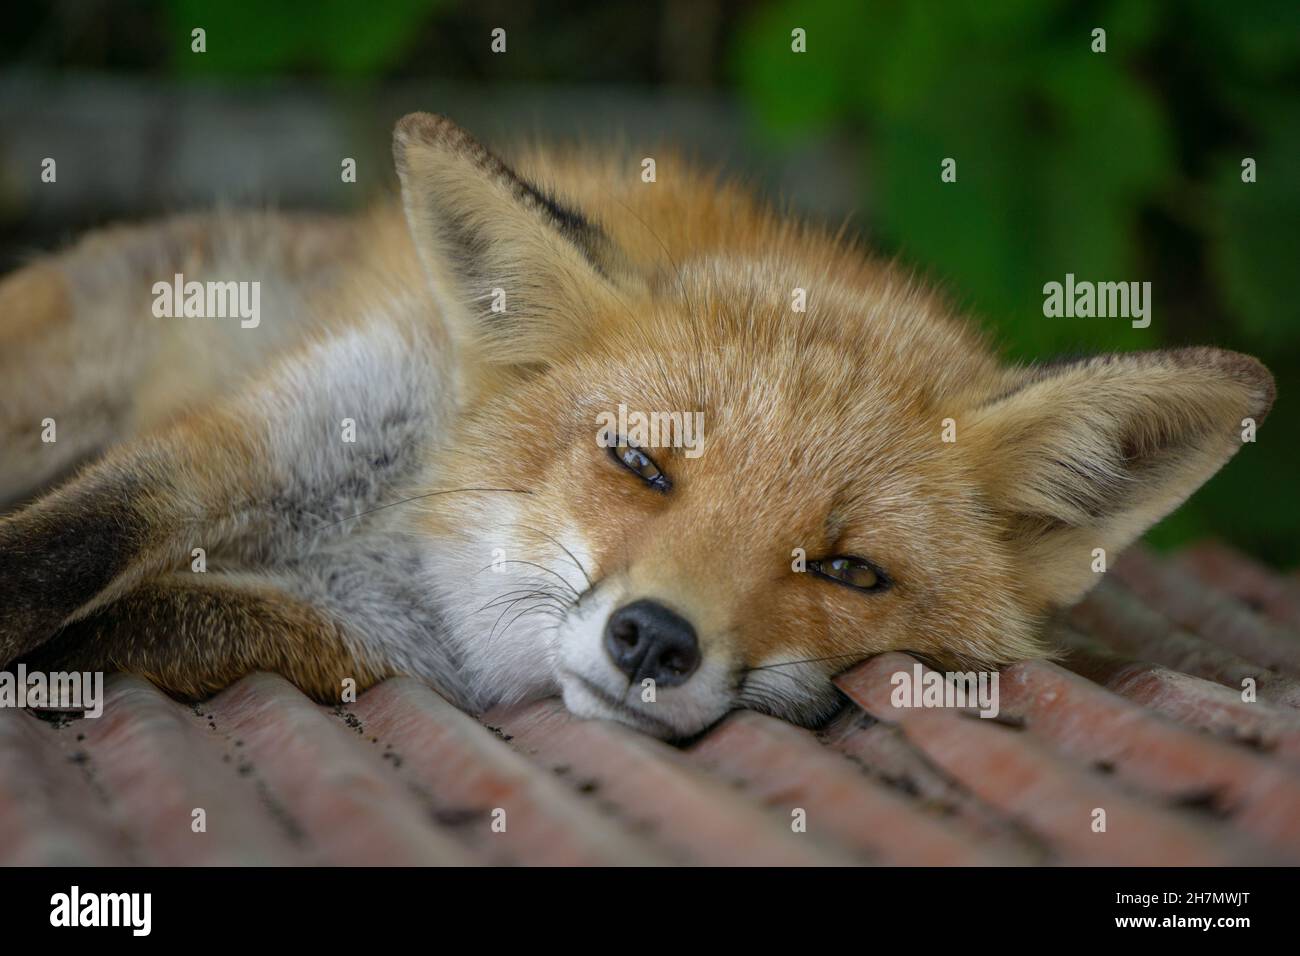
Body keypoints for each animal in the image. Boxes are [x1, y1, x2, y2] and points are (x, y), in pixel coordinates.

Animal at [0, 113, 1275, 740]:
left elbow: (123, 626)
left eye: (849, 570)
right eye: (636, 462)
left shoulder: (367, 636)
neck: (426, 524)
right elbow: (71, 541)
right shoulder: (305, 421)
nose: (655, 640)